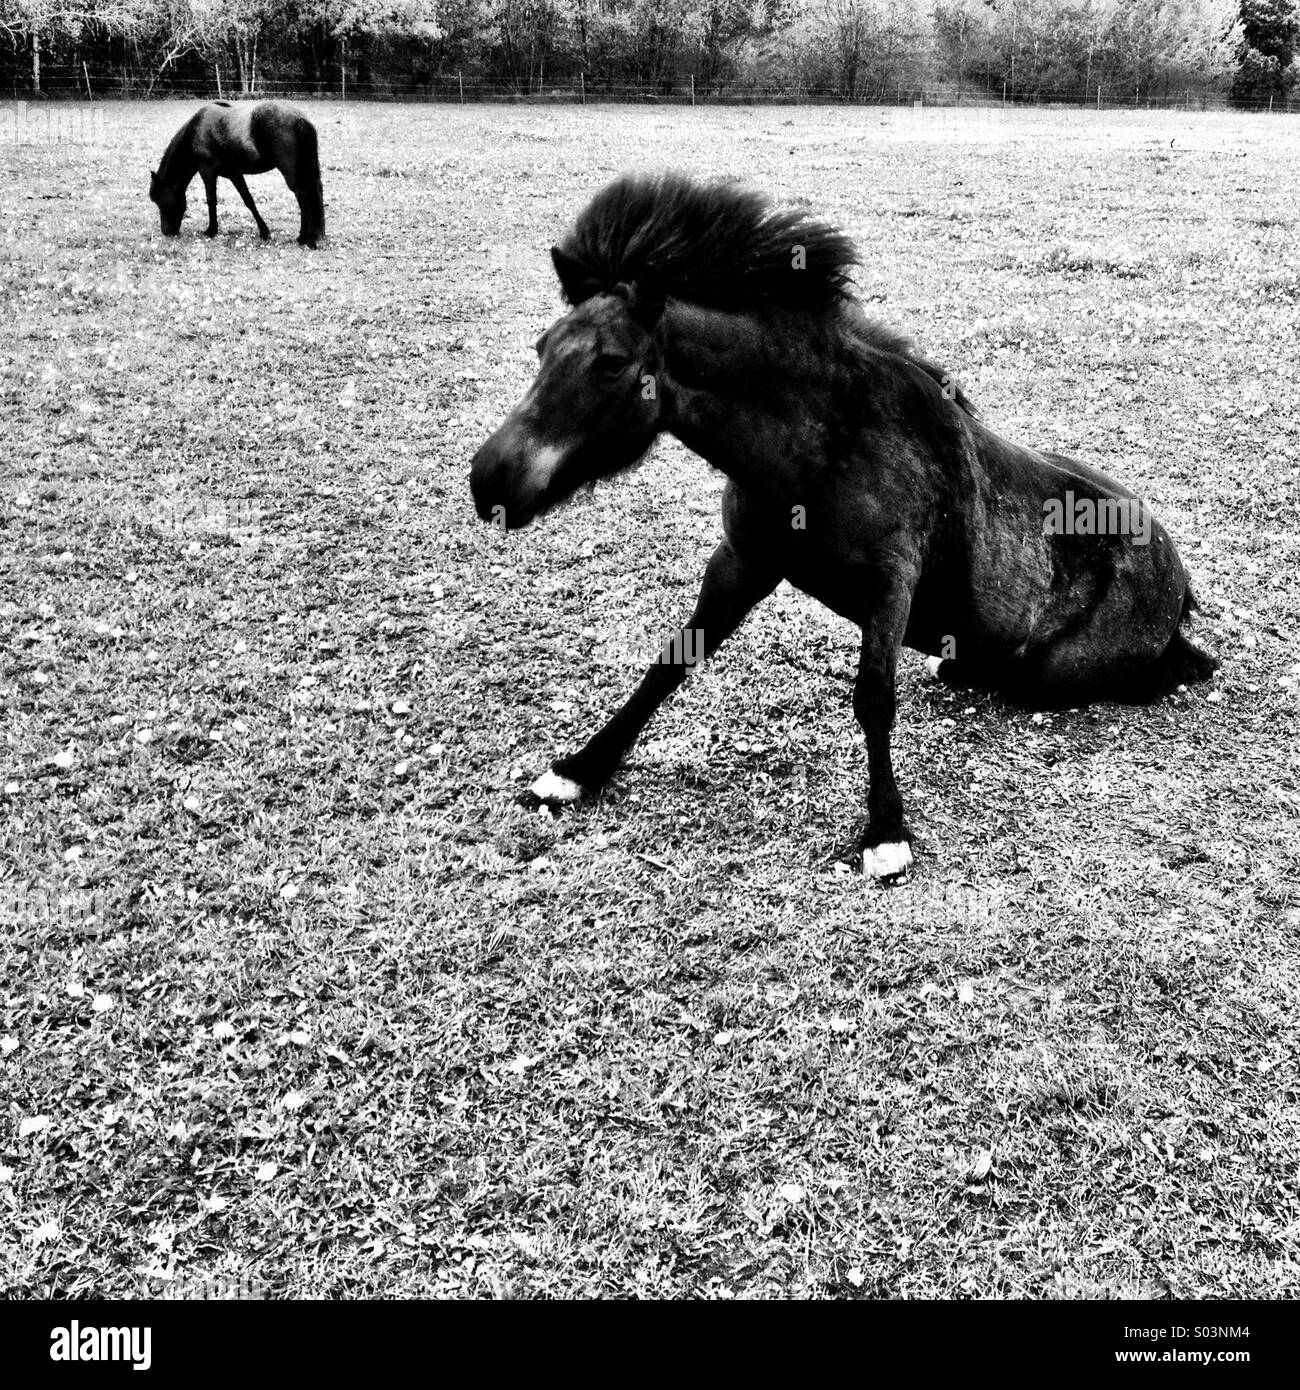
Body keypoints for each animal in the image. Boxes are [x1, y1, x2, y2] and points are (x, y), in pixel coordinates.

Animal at [148, 100, 324, 248]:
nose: (166, 232)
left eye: (159, 201)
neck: (196, 131)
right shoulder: (234, 174)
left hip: (290, 172)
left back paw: (304, 238)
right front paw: (264, 232)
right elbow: (249, 201)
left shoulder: (207, 171)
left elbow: (211, 201)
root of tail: (299, 119)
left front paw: (211, 230)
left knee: (303, 196)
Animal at [469, 174, 1216, 879]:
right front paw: (578, 771)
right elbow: (672, 662)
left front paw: (886, 834)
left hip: (1066, 668)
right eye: (542, 347)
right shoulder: (742, 561)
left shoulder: (890, 582)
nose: (491, 480)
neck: (823, 444)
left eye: (612, 362)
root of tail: (1178, 580)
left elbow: (873, 697)